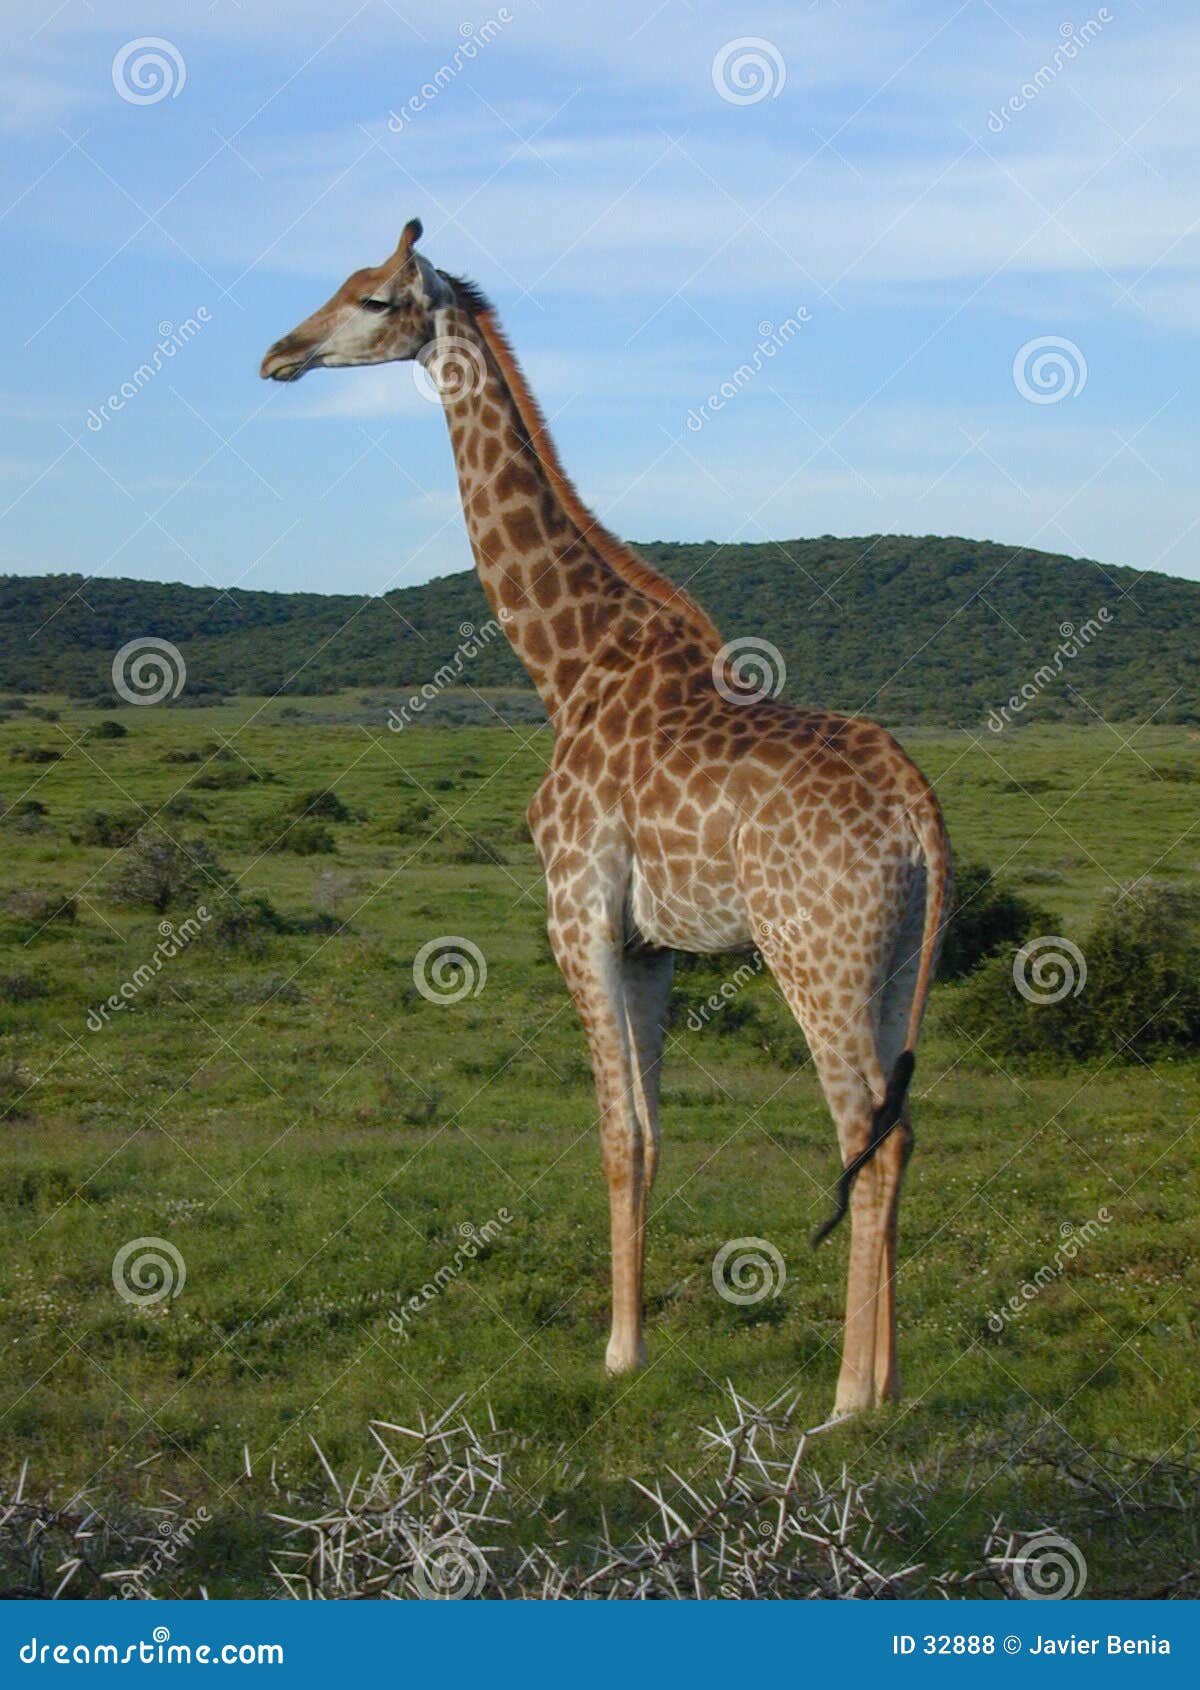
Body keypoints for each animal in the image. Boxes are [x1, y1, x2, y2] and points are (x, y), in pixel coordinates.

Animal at [261, 220, 952, 1416]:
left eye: (375, 297)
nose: (279, 355)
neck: (566, 666)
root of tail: (919, 809)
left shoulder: (574, 909)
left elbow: (615, 1133)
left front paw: (618, 1353)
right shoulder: (650, 943)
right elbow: (656, 1132)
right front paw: (639, 1341)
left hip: (813, 949)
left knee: (861, 1126)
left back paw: (846, 1402)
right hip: (896, 957)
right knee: (898, 1131)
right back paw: (895, 1383)